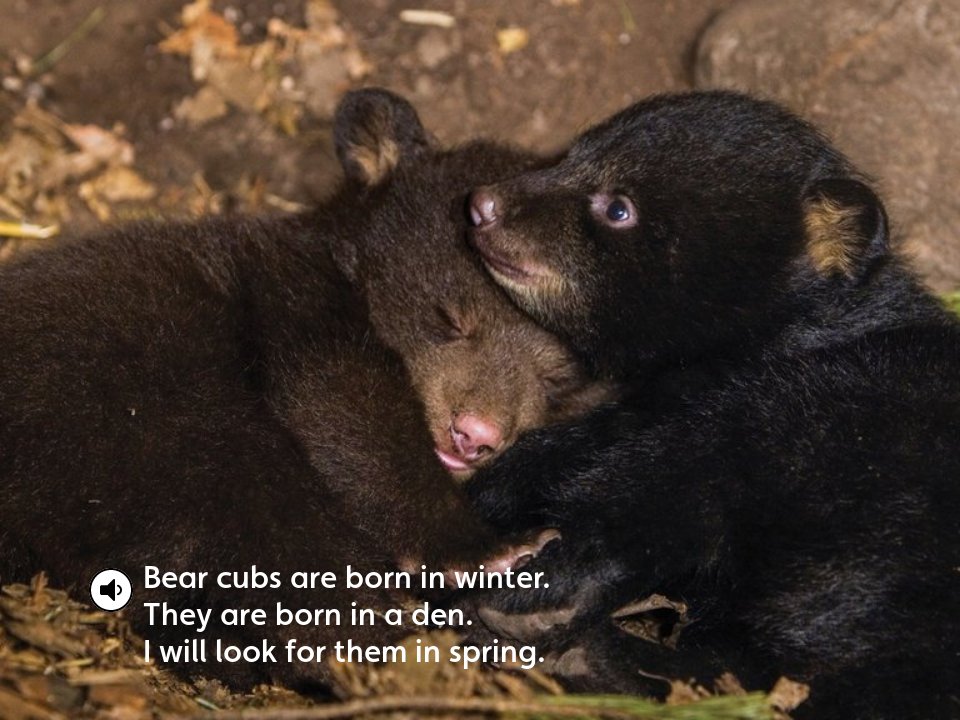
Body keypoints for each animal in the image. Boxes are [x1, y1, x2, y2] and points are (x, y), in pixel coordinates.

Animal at [0, 88, 605, 689]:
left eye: (555, 378)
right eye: (449, 317)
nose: (474, 435)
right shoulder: (292, 304)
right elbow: (345, 409)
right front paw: (488, 548)